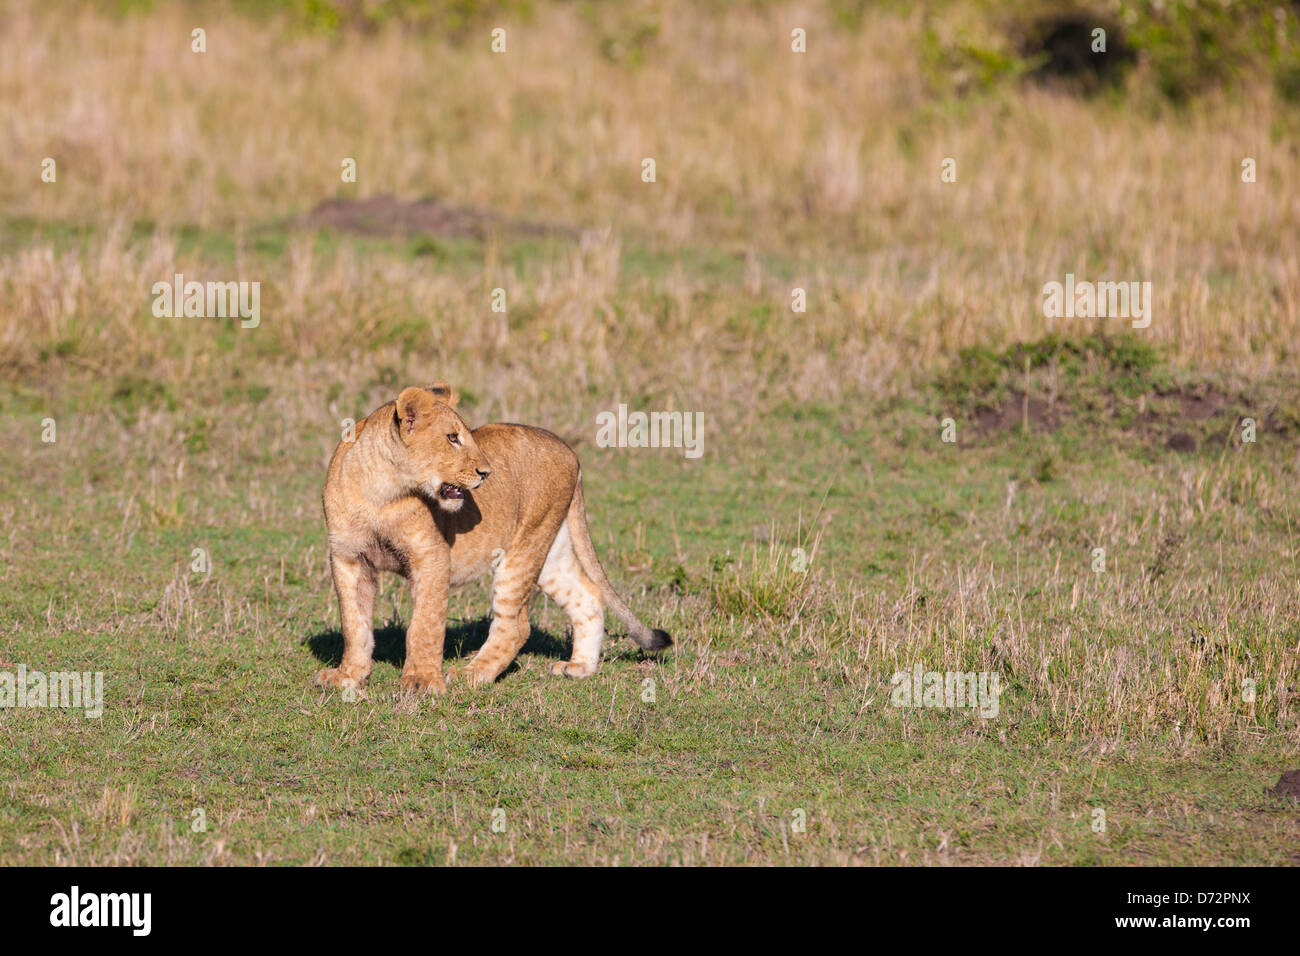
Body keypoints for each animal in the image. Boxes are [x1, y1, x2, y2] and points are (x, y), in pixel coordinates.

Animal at [316, 382, 672, 695]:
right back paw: (580, 668)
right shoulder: (348, 558)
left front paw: (422, 682)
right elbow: (354, 624)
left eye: (466, 436)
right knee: (588, 594)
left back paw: (471, 673)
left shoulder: (431, 556)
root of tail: (569, 451)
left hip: (523, 550)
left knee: (516, 625)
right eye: (452, 438)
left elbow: (425, 625)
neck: (382, 494)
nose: (486, 473)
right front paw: (348, 677)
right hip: (549, 547)